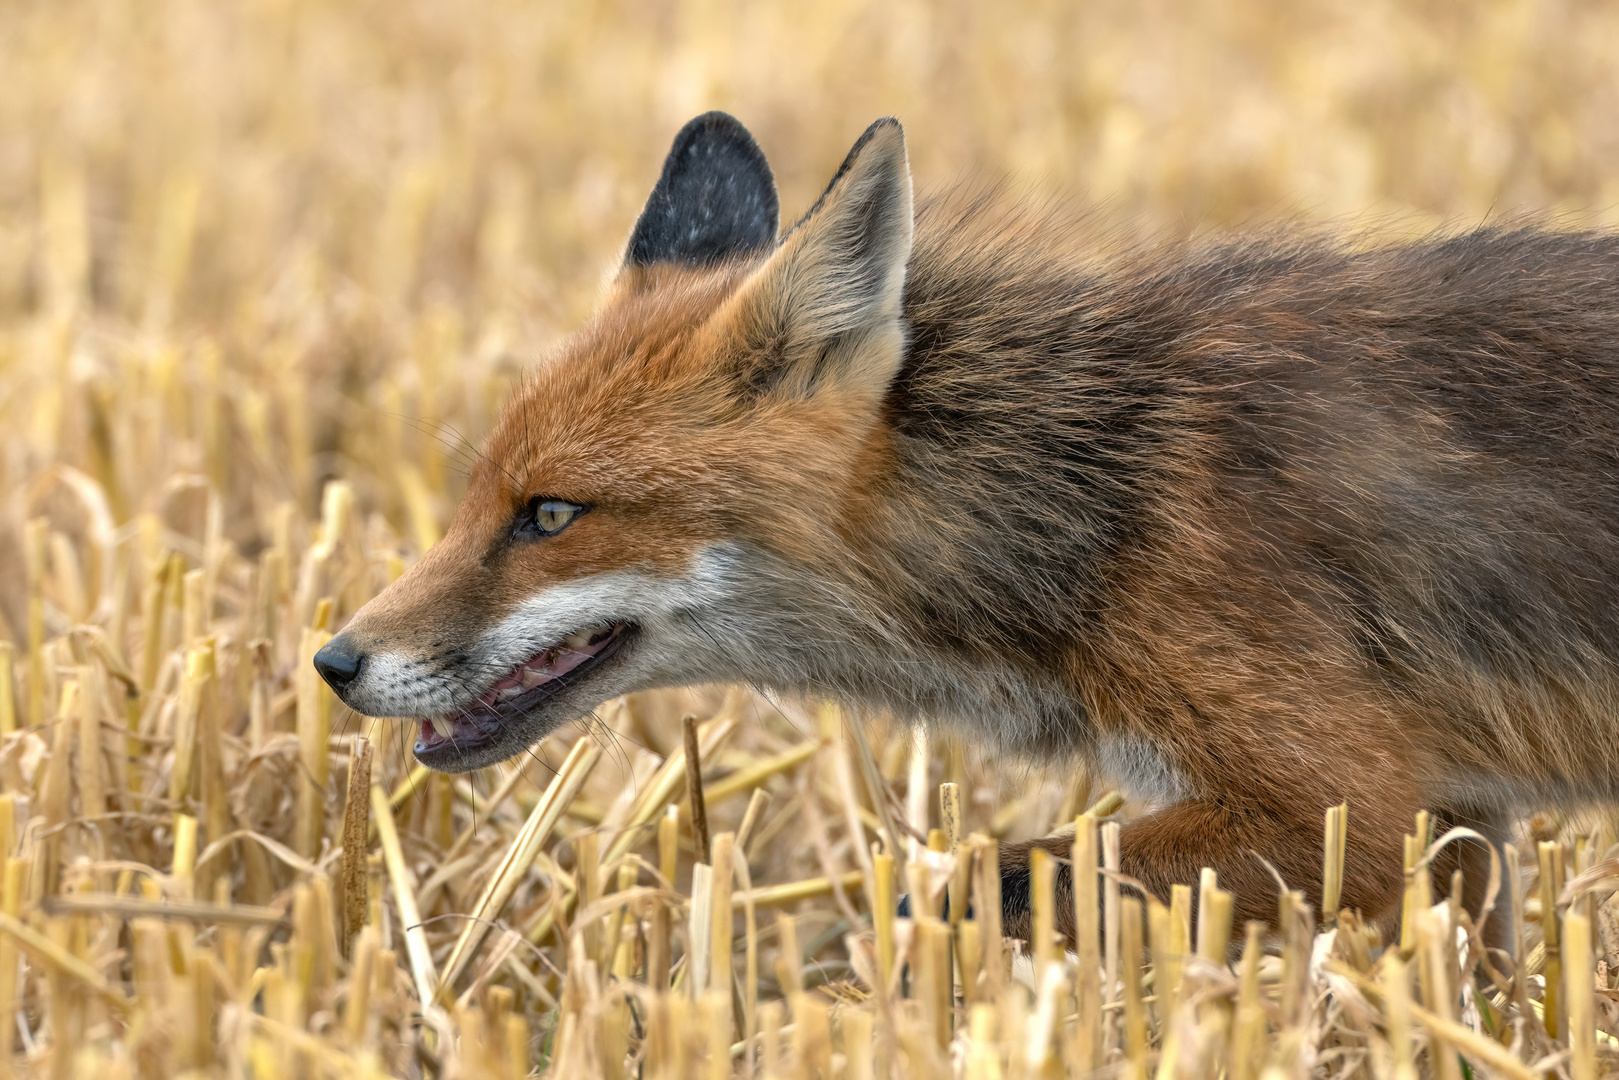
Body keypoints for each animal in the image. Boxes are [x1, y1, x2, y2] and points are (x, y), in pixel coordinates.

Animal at [315, 110, 1619, 943]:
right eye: (477, 499)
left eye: (549, 514)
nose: (334, 662)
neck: (1099, 501)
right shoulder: (1455, 817)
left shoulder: (1338, 810)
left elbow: (954, 894)